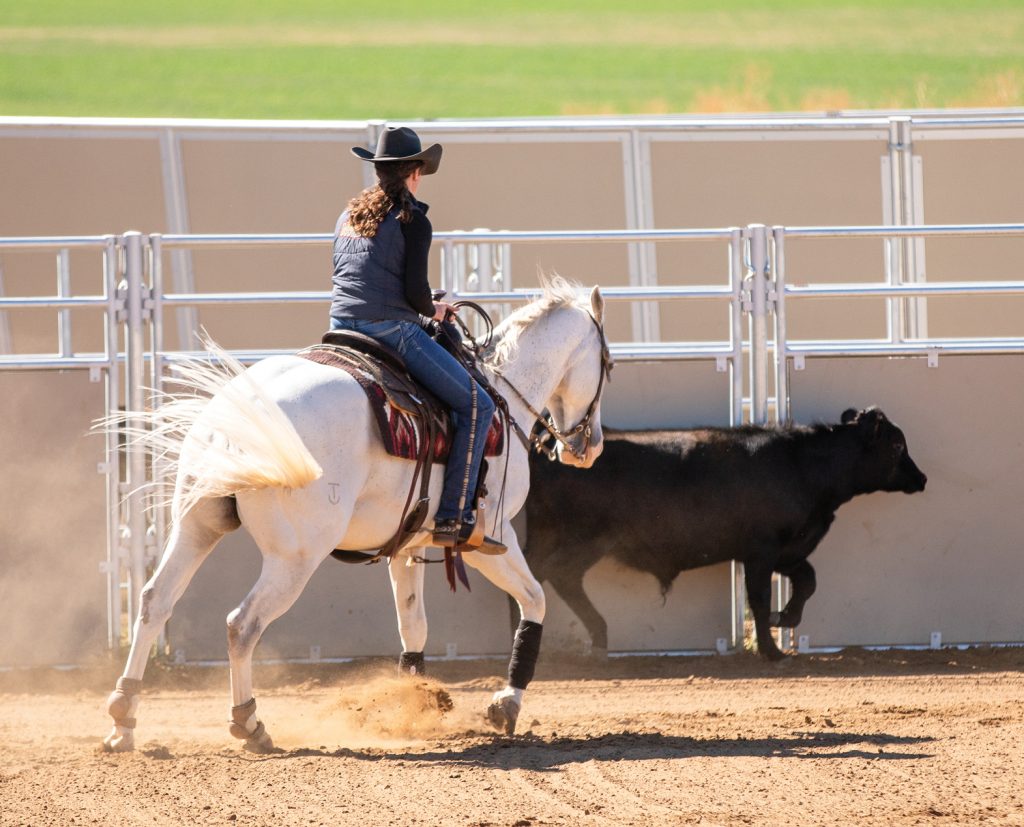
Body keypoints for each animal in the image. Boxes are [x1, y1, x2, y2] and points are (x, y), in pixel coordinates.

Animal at [102, 277, 611, 753]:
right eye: (608, 364)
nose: (590, 447)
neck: (500, 394)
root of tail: (245, 417)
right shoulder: (490, 538)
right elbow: (535, 600)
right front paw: (506, 704)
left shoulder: (407, 546)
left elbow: (413, 625)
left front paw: (413, 705)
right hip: (294, 559)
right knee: (241, 626)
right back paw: (250, 724)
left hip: (195, 526)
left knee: (154, 601)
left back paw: (124, 719)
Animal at [522, 407, 927, 660]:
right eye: (897, 445)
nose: (921, 478)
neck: (800, 465)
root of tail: (547, 448)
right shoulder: (761, 552)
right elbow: (760, 598)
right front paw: (771, 650)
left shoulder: (786, 550)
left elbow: (807, 580)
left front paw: (786, 618)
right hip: (580, 540)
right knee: (547, 576)